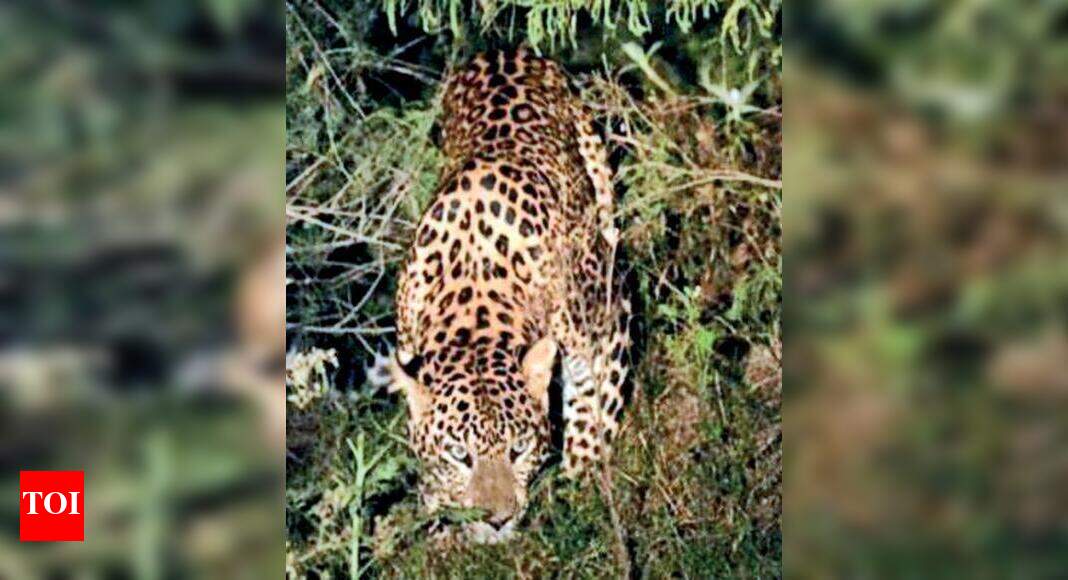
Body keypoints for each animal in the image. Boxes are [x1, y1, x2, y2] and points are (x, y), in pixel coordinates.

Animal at [371, 47, 632, 544]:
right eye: (459, 454)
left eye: (519, 448)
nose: (497, 520)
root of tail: (502, 50)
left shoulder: (610, 320)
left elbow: (594, 415)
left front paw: (582, 483)